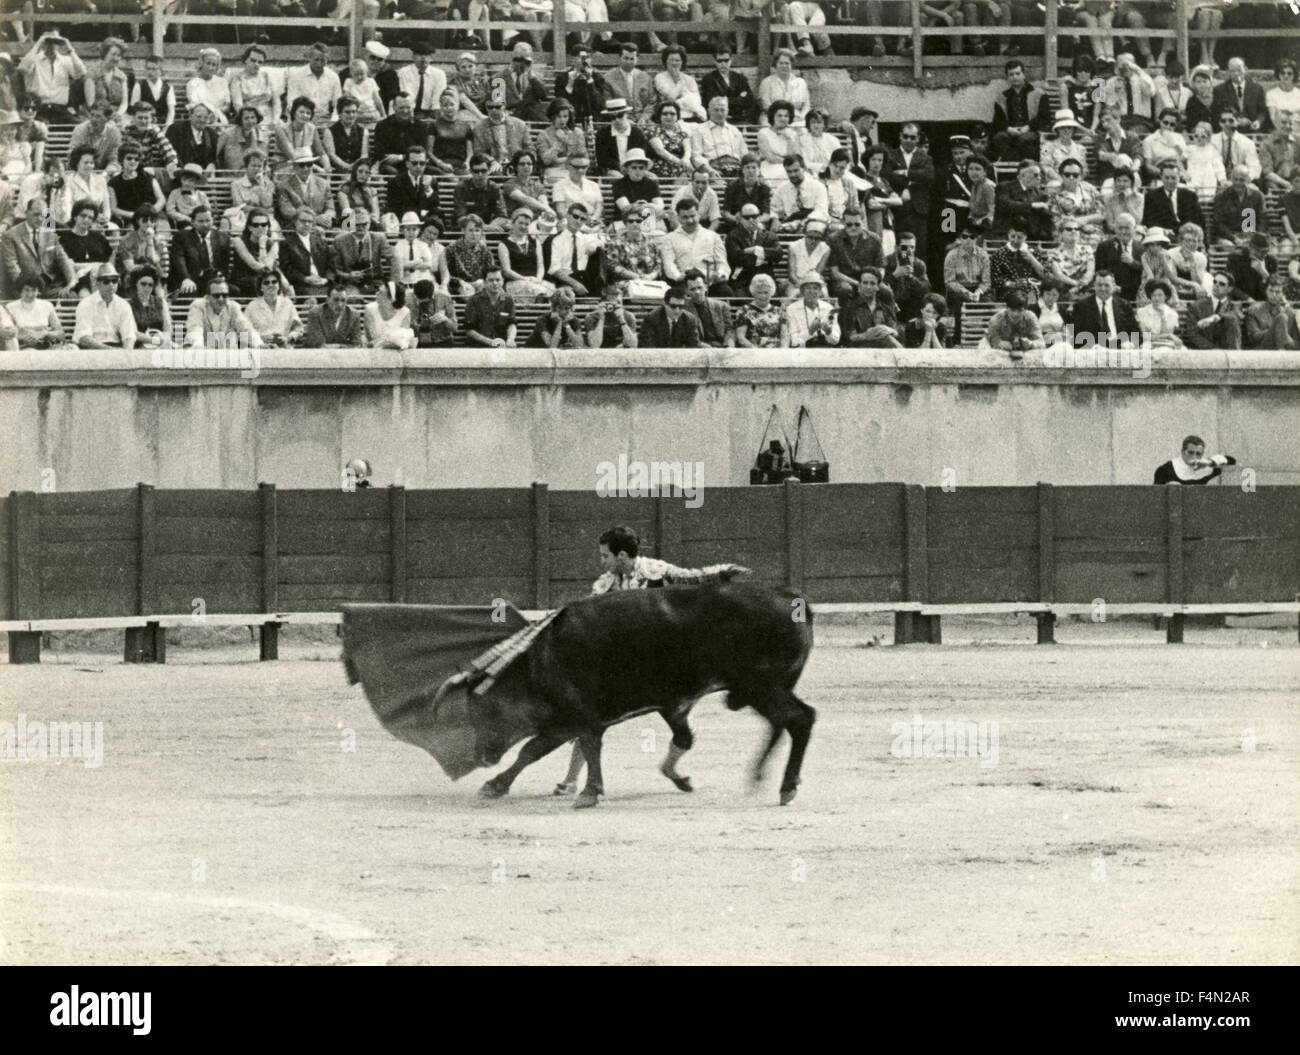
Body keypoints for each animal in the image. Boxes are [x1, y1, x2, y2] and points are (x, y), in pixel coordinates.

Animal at [452, 581, 816, 808]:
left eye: (484, 713)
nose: (482, 757)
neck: (543, 658)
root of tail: (790, 596)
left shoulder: (578, 715)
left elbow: (575, 746)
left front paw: (589, 793)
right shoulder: (573, 719)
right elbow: (533, 749)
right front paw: (495, 786)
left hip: (762, 686)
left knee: (800, 719)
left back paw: (786, 787)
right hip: (759, 690)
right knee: (781, 722)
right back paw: (759, 779)